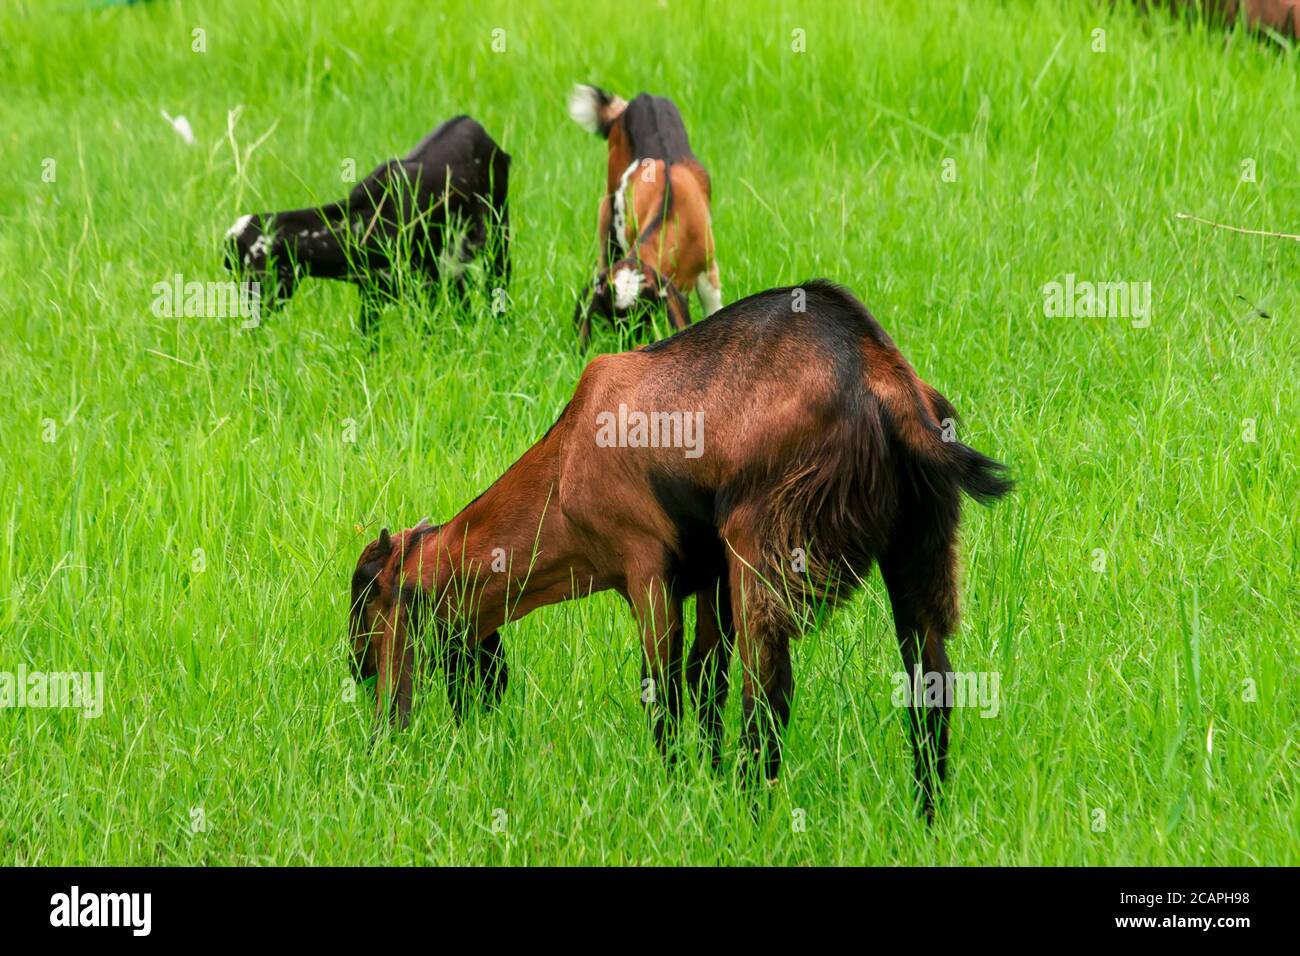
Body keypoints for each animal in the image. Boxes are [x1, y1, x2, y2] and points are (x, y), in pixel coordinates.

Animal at [224, 115, 510, 332]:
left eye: (256, 275)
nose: (252, 322)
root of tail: (472, 123)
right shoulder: (371, 292)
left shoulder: (427, 282)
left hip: (498, 231)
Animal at [349, 281, 1011, 815]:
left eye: (368, 606)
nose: (364, 692)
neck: (562, 471)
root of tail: (883, 376)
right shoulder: (709, 578)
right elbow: (704, 682)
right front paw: (703, 781)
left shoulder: (647, 567)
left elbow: (663, 691)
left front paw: (671, 791)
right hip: (920, 543)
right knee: (931, 685)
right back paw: (927, 818)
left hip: (764, 541)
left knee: (768, 696)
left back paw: (751, 814)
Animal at [567, 85, 722, 347]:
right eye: (611, 315)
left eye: (645, 313)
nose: (630, 343)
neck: (672, 215)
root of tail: (638, 100)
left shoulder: (709, 271)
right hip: (606, 215)